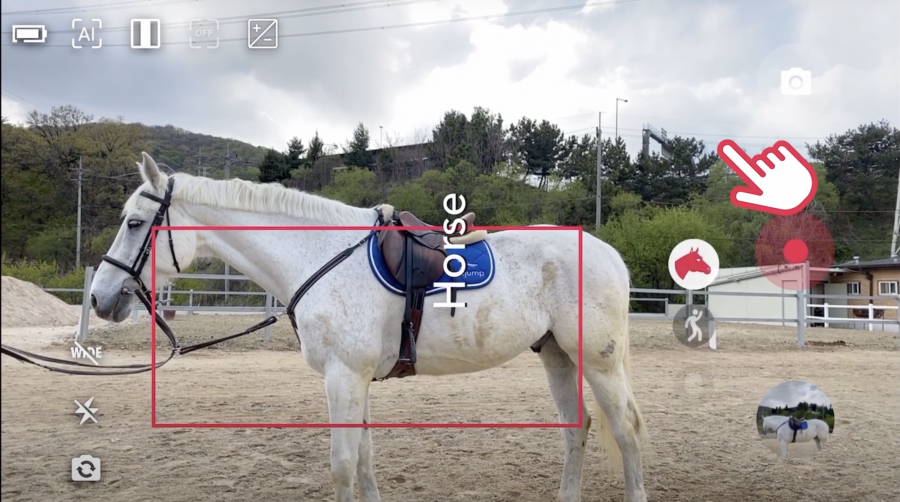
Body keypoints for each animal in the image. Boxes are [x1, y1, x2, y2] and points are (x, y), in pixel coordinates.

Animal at [89, 152, 649, 502]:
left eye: (135, 224)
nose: (99, 297)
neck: (320, 255)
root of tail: (607, 252)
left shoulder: (343, 376)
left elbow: (342, 463)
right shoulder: (355, 380)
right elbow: (364, 459)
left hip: (597, 360)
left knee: (626, 431)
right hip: (557, 356)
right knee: (578, 428)